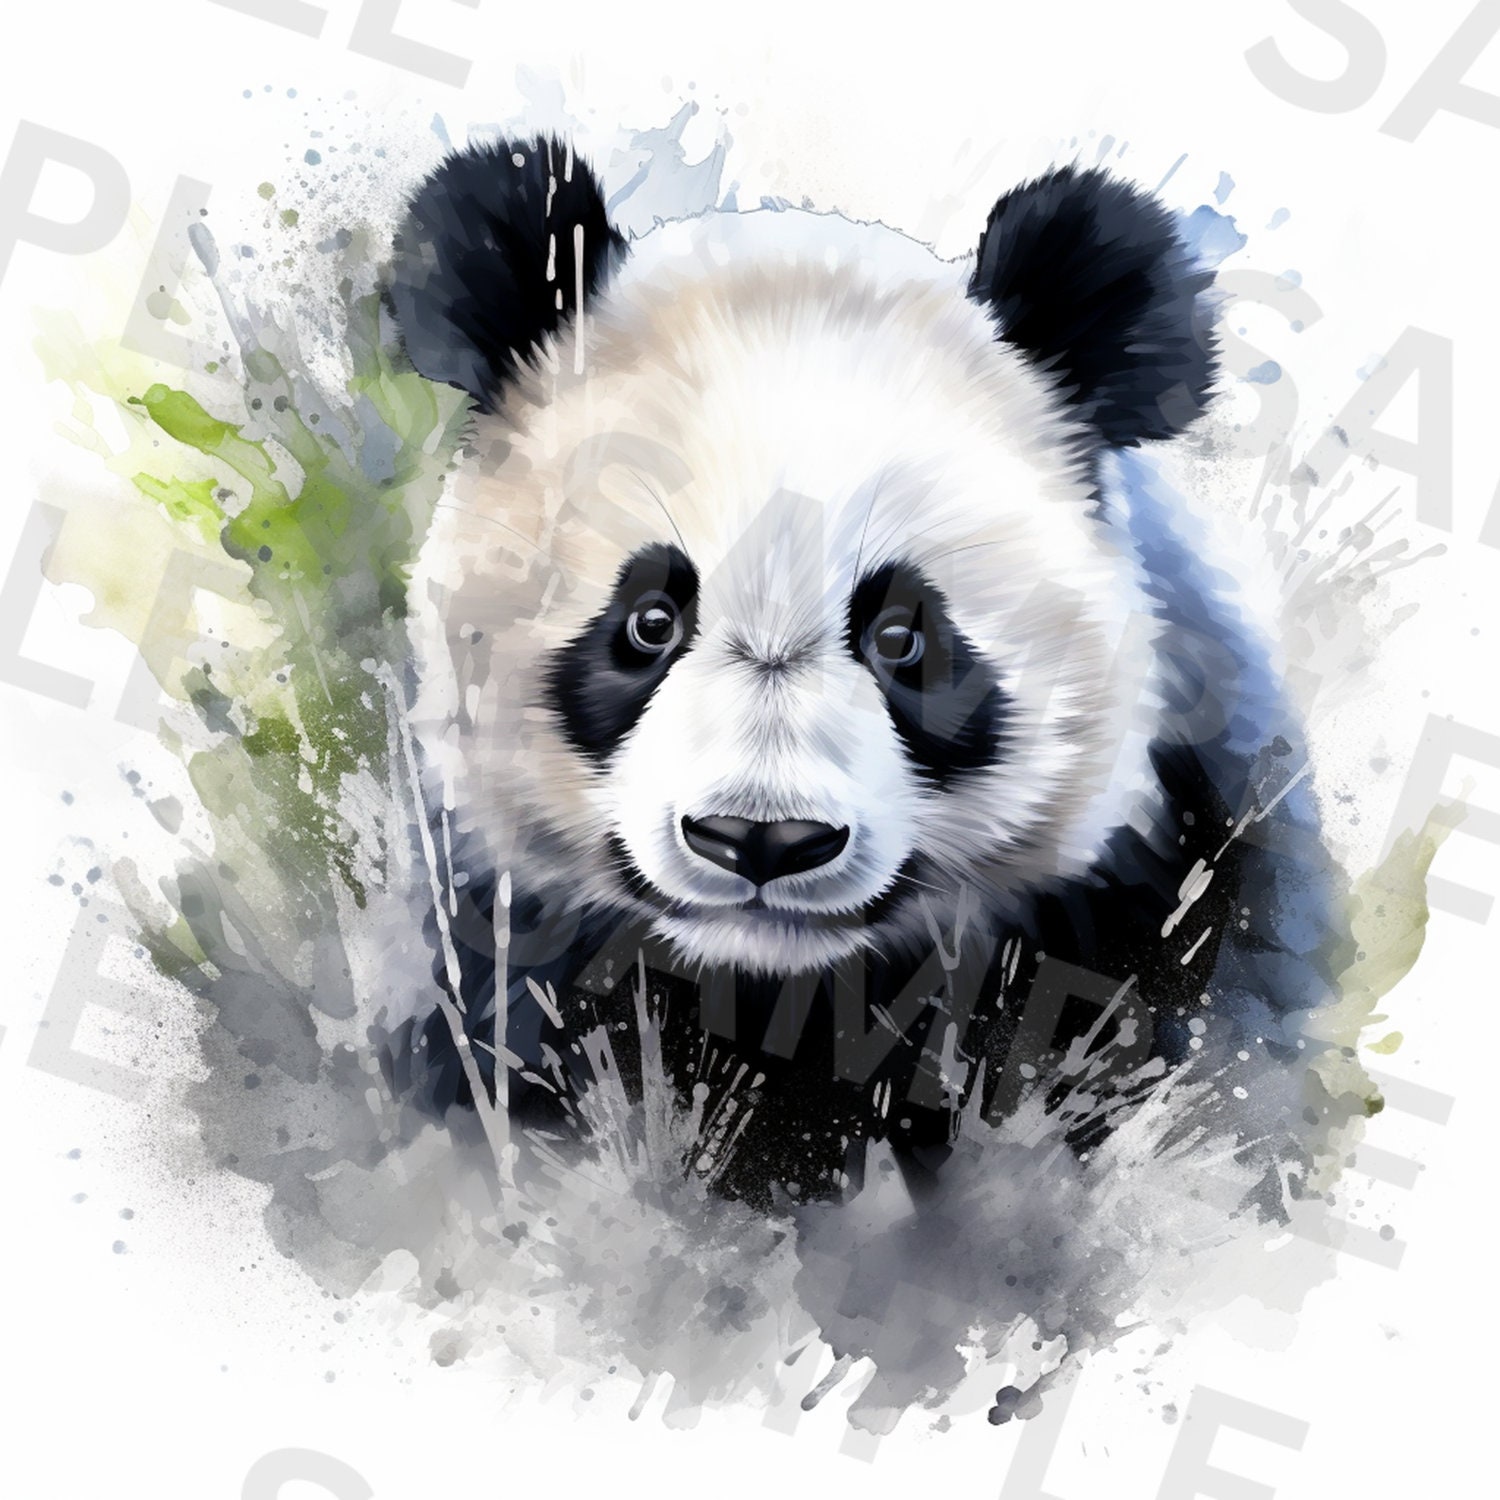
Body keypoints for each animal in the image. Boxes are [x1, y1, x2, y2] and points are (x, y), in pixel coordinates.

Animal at [384, 136, 1342, 1210]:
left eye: (901, 636)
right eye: (649, 621)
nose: (761, 840)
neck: (784, 995)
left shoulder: (1161, 902)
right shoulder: (515, 966)